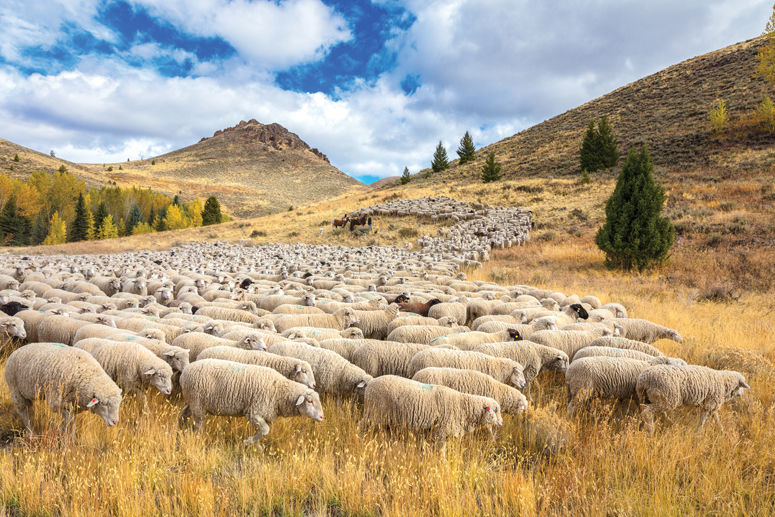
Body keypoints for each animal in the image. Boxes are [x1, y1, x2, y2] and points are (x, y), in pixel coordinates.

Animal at [178, 359, 323, 446]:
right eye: (310, 401)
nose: (322, 417)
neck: (279, 391)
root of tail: (185, 371)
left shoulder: (264, 415)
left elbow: (264, 430)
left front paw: (254, 444)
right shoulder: (254, 412)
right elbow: (265, 430)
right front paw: (248, 442)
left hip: (193, 402)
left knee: (183, 414)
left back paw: (180, 429)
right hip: (197, 403)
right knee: (198, 425)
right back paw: (198, 438)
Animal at [363, 375, 502, 444]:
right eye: (495, 410)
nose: (502, 423)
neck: (463, 405)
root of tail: (371, 381)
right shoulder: (442, 430)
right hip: (373, 413)